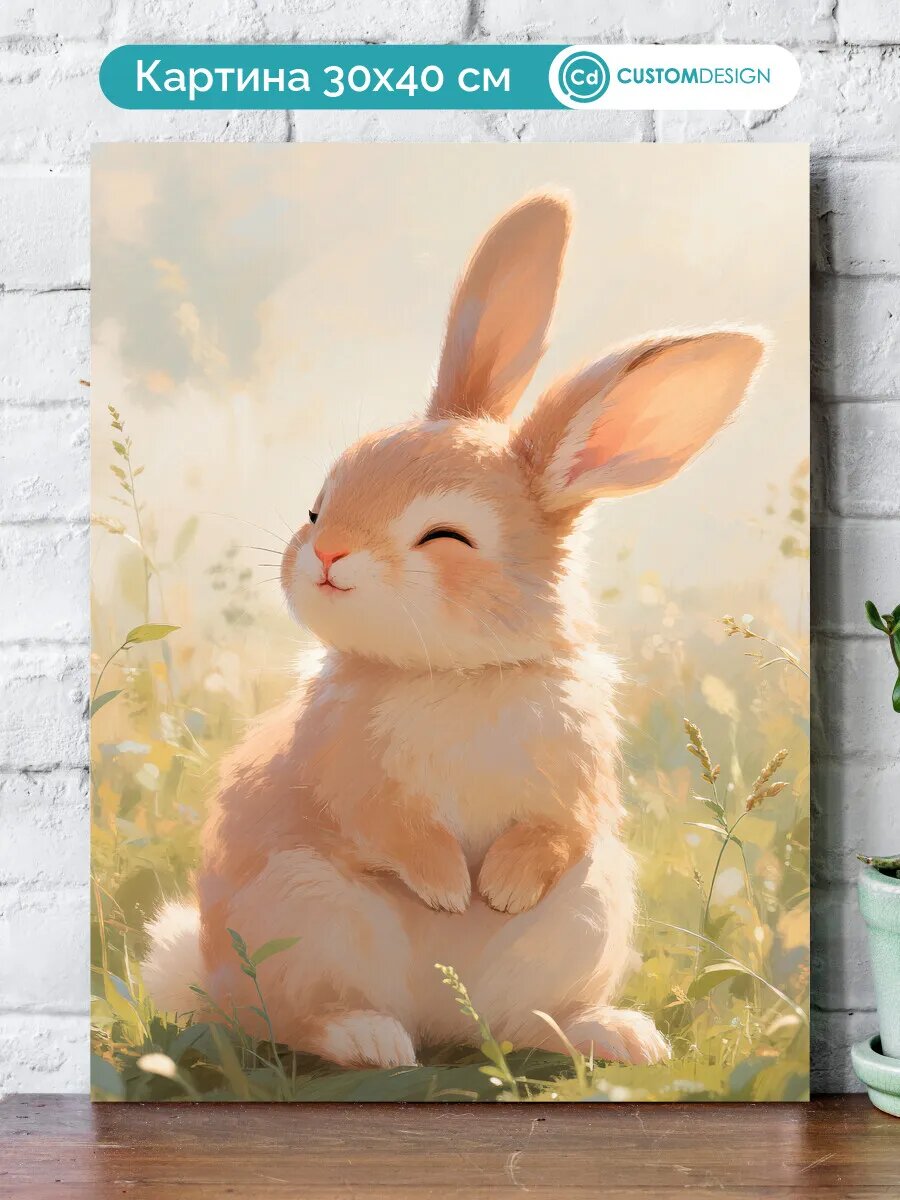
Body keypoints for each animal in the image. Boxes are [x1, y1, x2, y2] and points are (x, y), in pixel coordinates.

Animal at [144, 193, 764, 1071]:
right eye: (317, 505)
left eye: (446, 538)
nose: (326, 555)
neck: (458, 672)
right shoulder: (348, 772)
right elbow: (389, 825)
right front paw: (445, 888)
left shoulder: (576, 778)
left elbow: (559, 826)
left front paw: (498, 889)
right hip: (305, 915)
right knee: (296, 1020)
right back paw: (374, 1040)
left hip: (583, 916)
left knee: (527, 1023)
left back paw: (615, 1035)